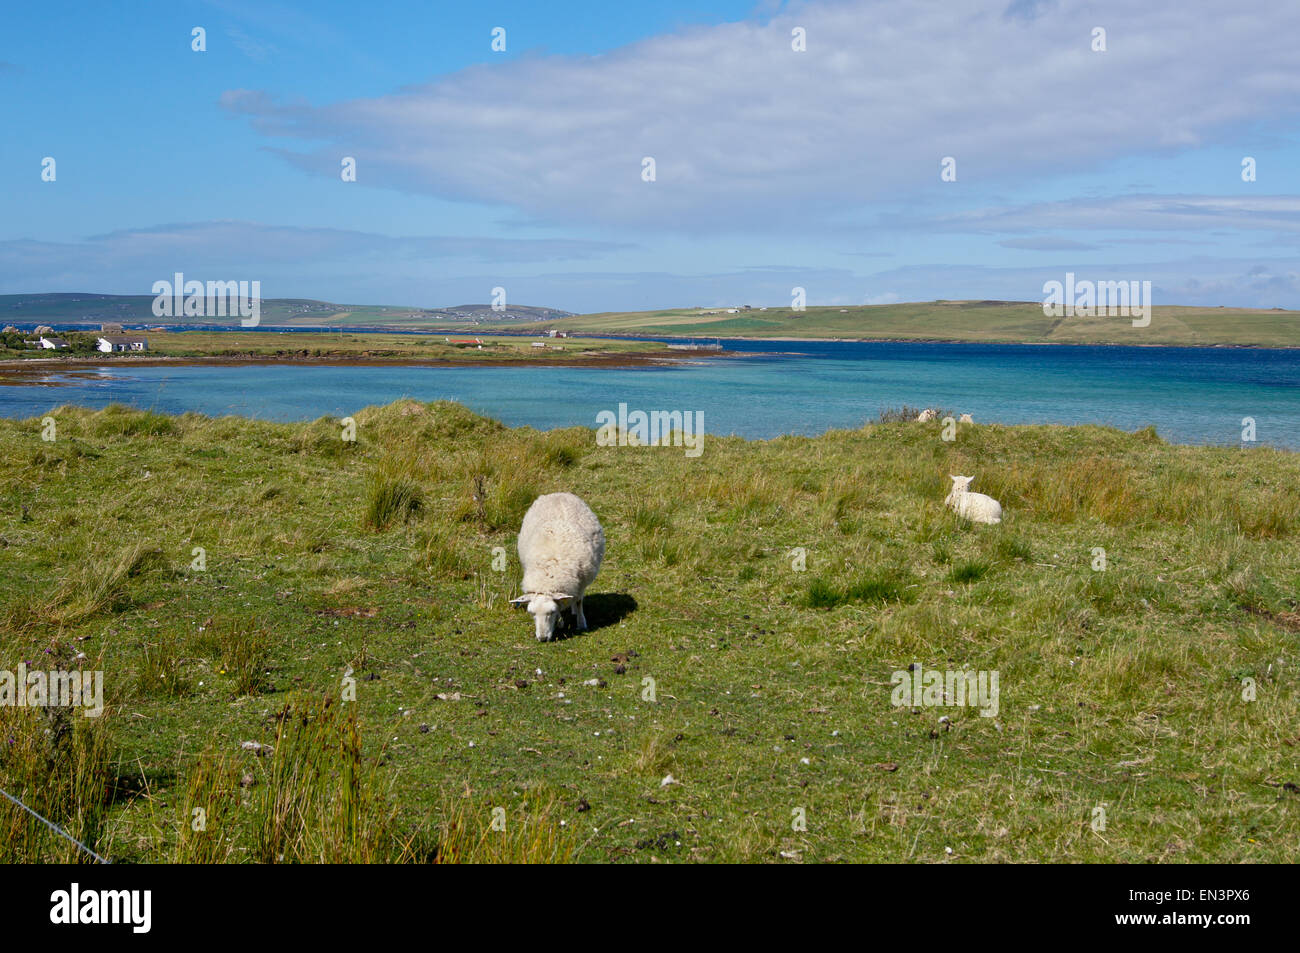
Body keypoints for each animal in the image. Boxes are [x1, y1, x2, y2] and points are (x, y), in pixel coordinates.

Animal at [510, 492, 605, 641]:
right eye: (532, 613)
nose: (542, 638)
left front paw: (581, 623)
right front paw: (560, 622)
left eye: (551, 611)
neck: (548, 571)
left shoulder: (581, 582)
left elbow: (579, 602)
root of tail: (559, 494)